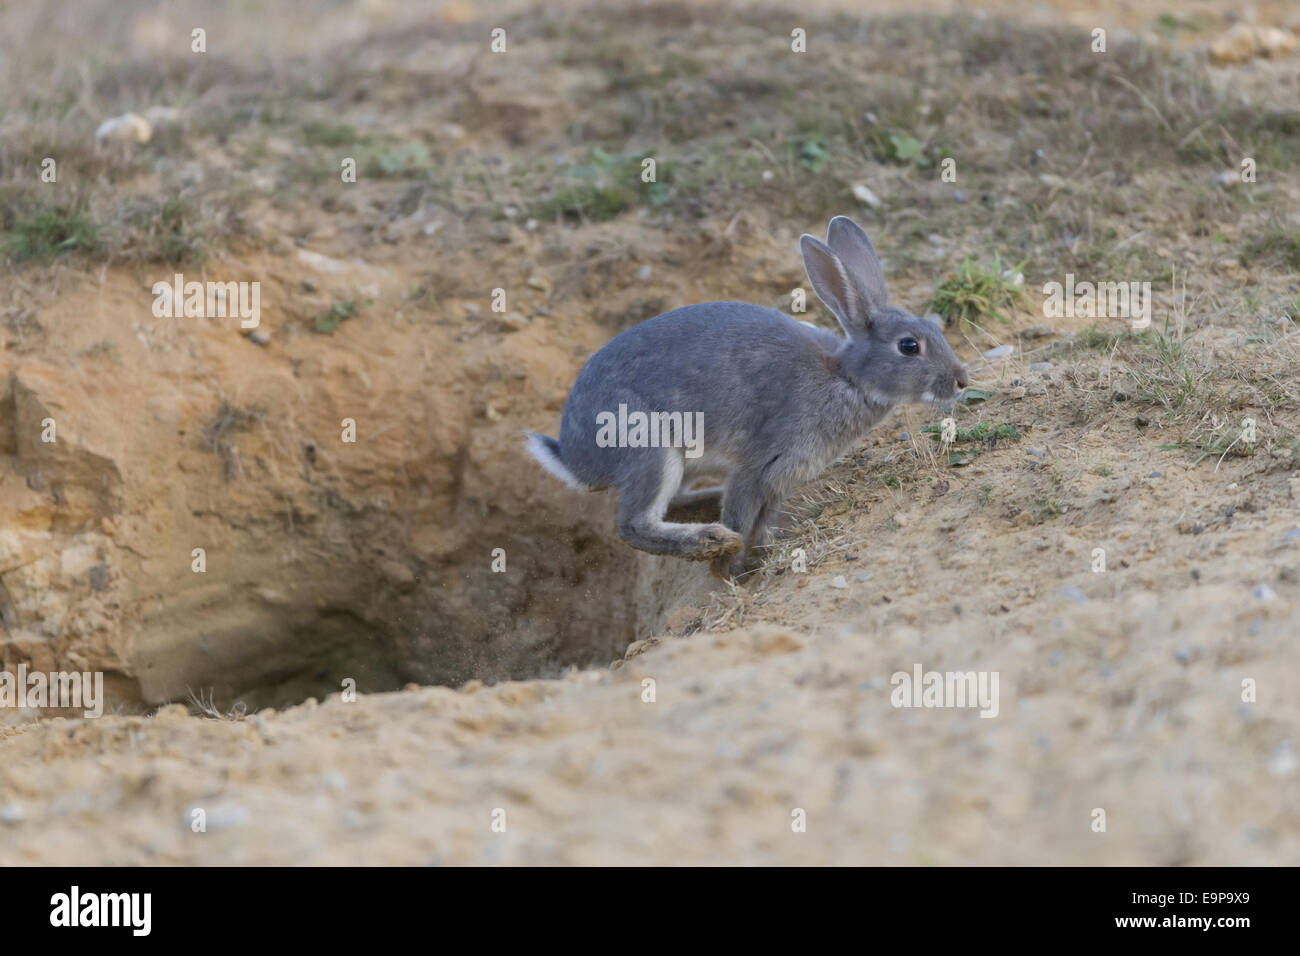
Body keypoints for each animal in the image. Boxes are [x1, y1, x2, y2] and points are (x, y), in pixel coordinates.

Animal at [526, 216, 969, 580]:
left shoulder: (781, 478)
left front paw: (761, 554)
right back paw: (710, 539)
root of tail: (576, 459)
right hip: (648, 446)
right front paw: (731, 569)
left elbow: (764, 520)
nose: (962, 380)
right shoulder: (759, 465)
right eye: (909, 346)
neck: (847, 377)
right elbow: (742, 512)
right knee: (634, 525)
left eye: (936, 328)